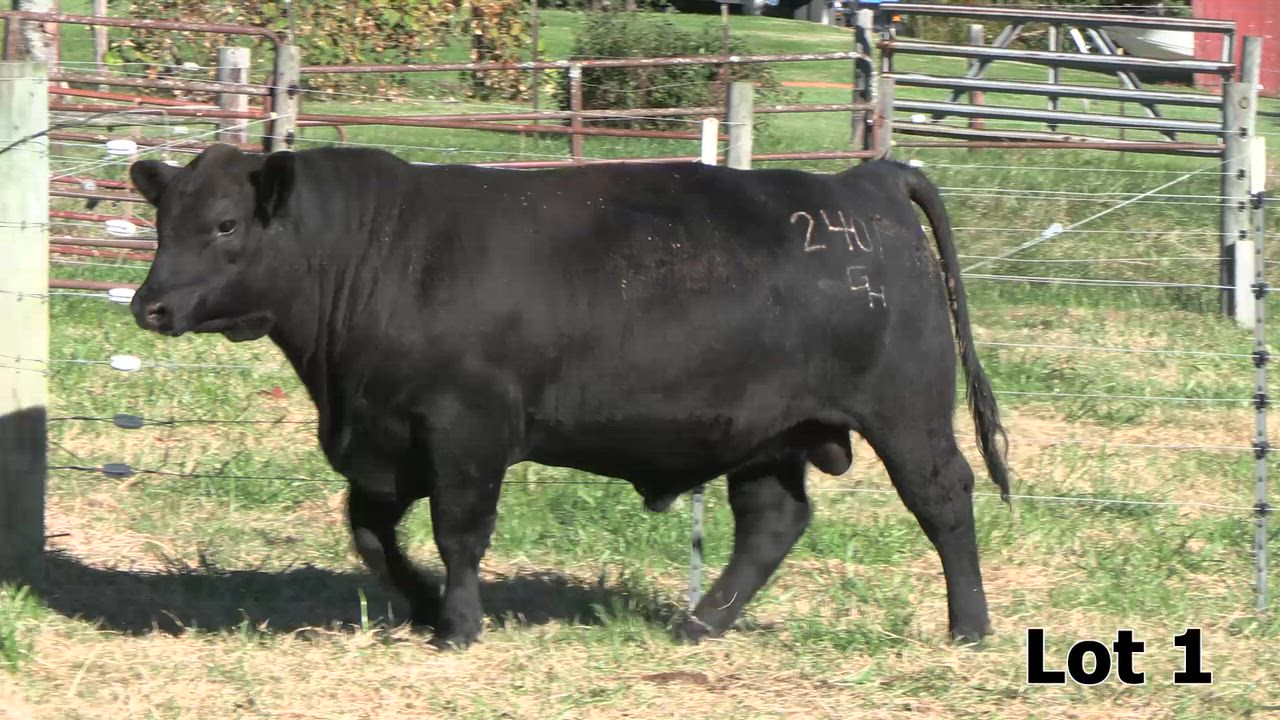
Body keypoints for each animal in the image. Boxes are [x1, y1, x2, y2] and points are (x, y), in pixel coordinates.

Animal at [127, 144, 1010, 649]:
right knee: (772, 522)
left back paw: (969, 627)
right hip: (767, 433)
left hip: (907, 413)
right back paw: (698, 624)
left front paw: (458, 626)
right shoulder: (385, 441)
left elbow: (459, 532)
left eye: (226, 224)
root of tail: (866, 182)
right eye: (163, 220)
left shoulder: (467, 431)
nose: (150, 306)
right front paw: (423, 608)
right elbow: (372, 534)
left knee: (944, 499)